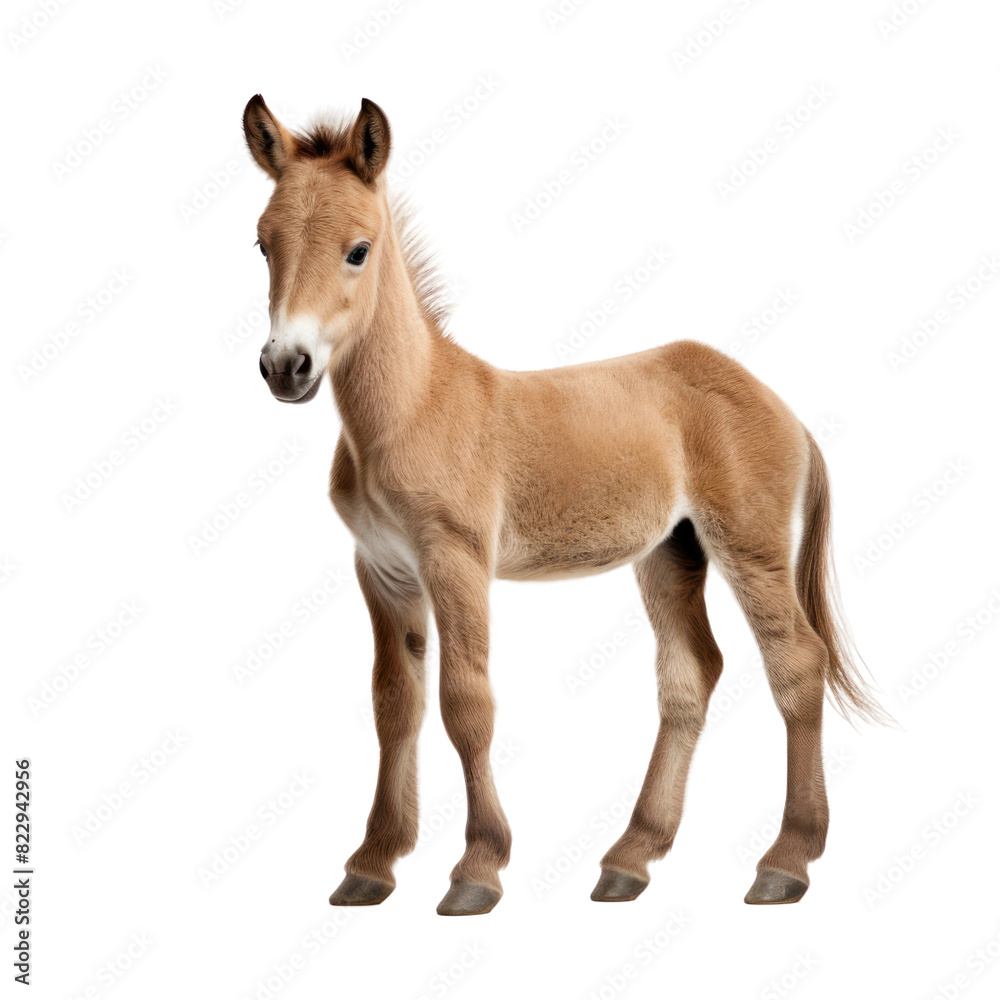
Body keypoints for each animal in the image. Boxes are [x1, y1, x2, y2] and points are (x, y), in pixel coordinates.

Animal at [242, 94, 885, 916]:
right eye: (262, 244)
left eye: (359, 250)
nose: (285, 367)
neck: (414, 407)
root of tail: (781, 406)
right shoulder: (382, 570)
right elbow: (395, 704)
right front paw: (372, 864)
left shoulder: (455, 560)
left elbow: (465, 703)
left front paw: (477, 869)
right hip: (671, 552)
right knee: (690, 675)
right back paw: (631, 859)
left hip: (749, 545)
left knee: (797, 663)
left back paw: (786, 861)